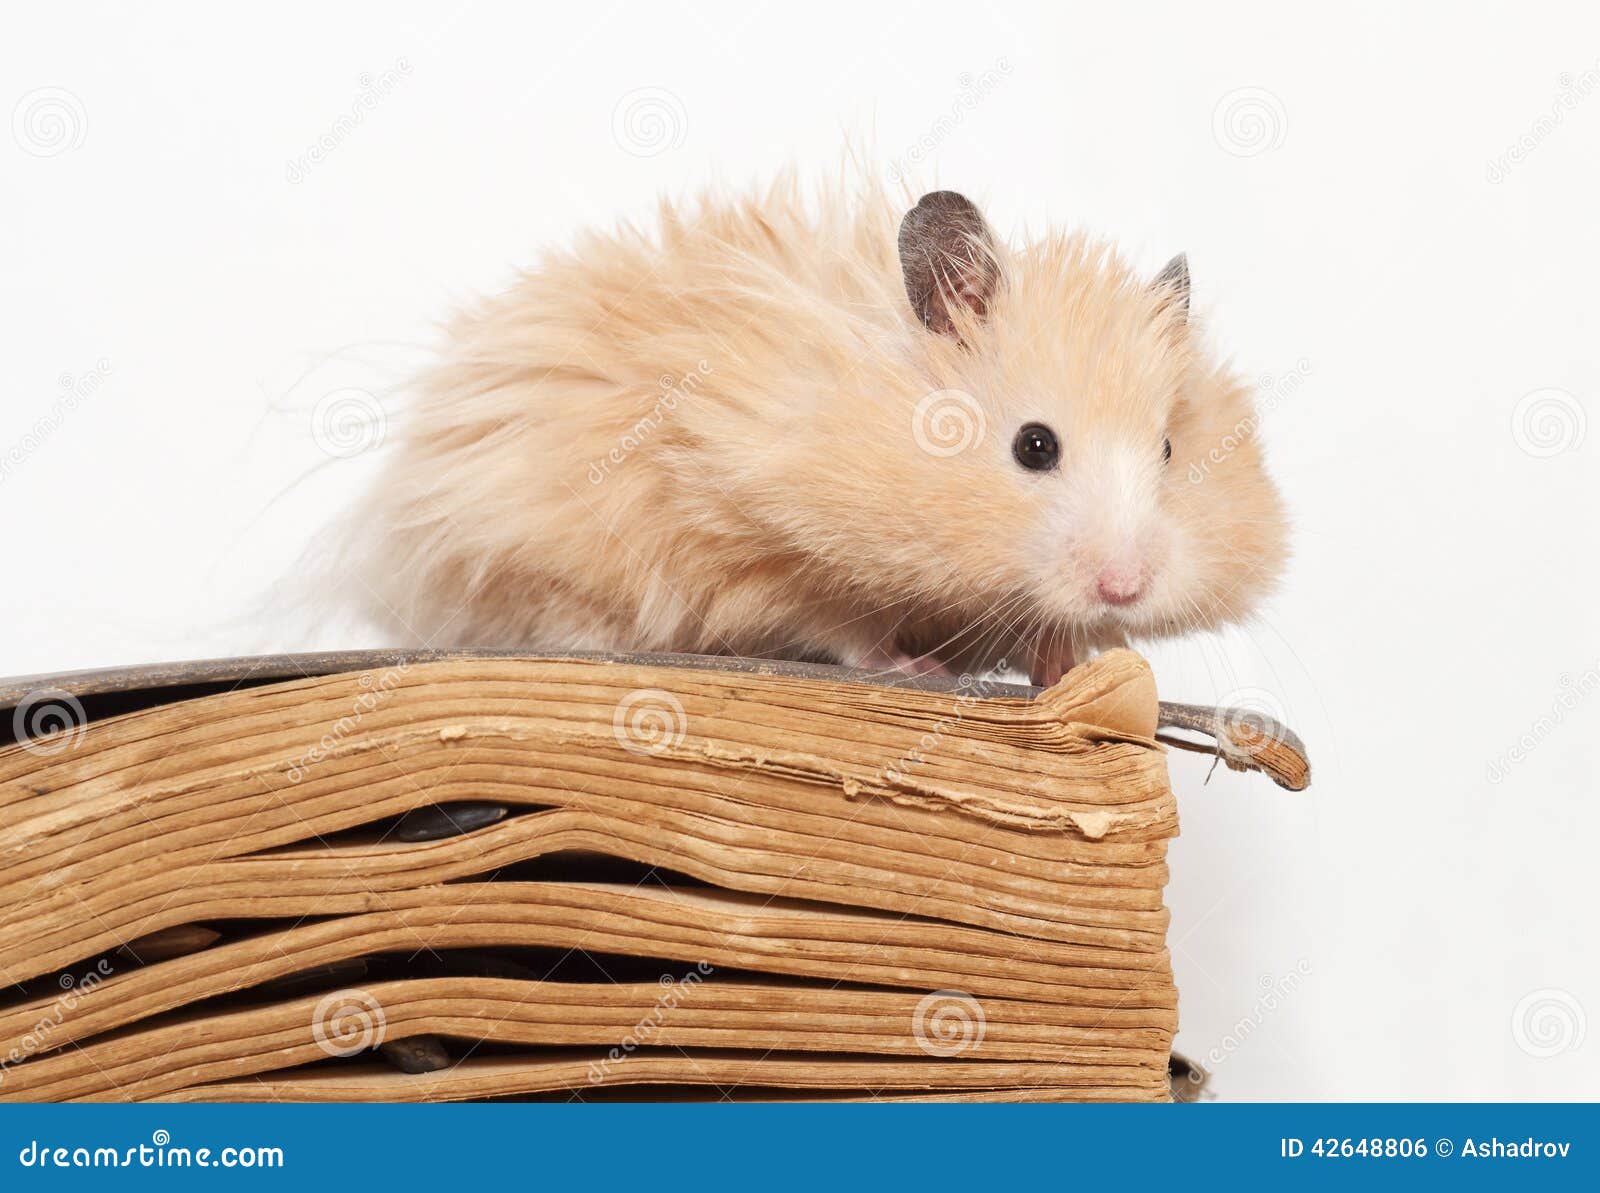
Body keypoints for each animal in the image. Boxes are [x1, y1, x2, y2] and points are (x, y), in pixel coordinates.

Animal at [351, 172, 1288, 687]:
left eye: (1168, 449)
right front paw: (918, 667)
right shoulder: (754, 532)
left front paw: (1081, 662)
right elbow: (844, 622)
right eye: (1034, 446)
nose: (1125, 588)